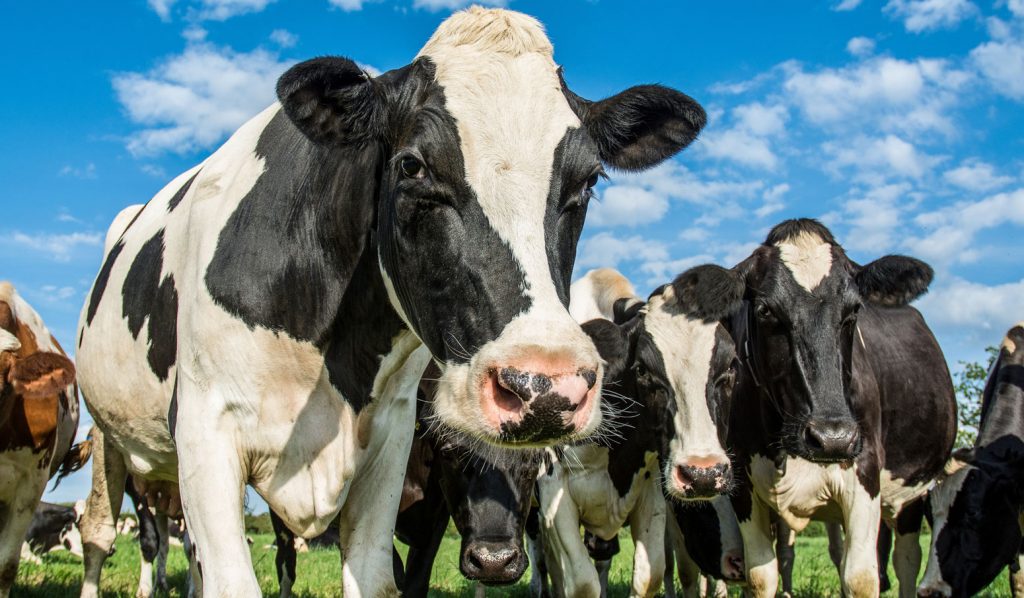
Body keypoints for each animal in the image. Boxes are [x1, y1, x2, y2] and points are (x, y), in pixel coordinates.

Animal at [74, 8, 706, 597]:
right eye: (413, 165)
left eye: (589, 181)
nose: (544, 386)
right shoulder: (205, 427)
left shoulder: (391, 439)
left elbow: (378, 578)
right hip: (110, 437)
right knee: (105, 534)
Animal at [535, 266, 741, 597]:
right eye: (643, 370)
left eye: (731, 367)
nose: (703, 475)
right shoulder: (554, 490)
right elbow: (581, 582)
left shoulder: (651, 491)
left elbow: (649, 575)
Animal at [714, 218, 955, 598]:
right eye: (766, 310)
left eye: (853, 310)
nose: (832, 438)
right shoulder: (743, 481)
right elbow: (761, 575)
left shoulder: (865, 472)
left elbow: (860, 578)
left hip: (910, 494)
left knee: (905, 560)